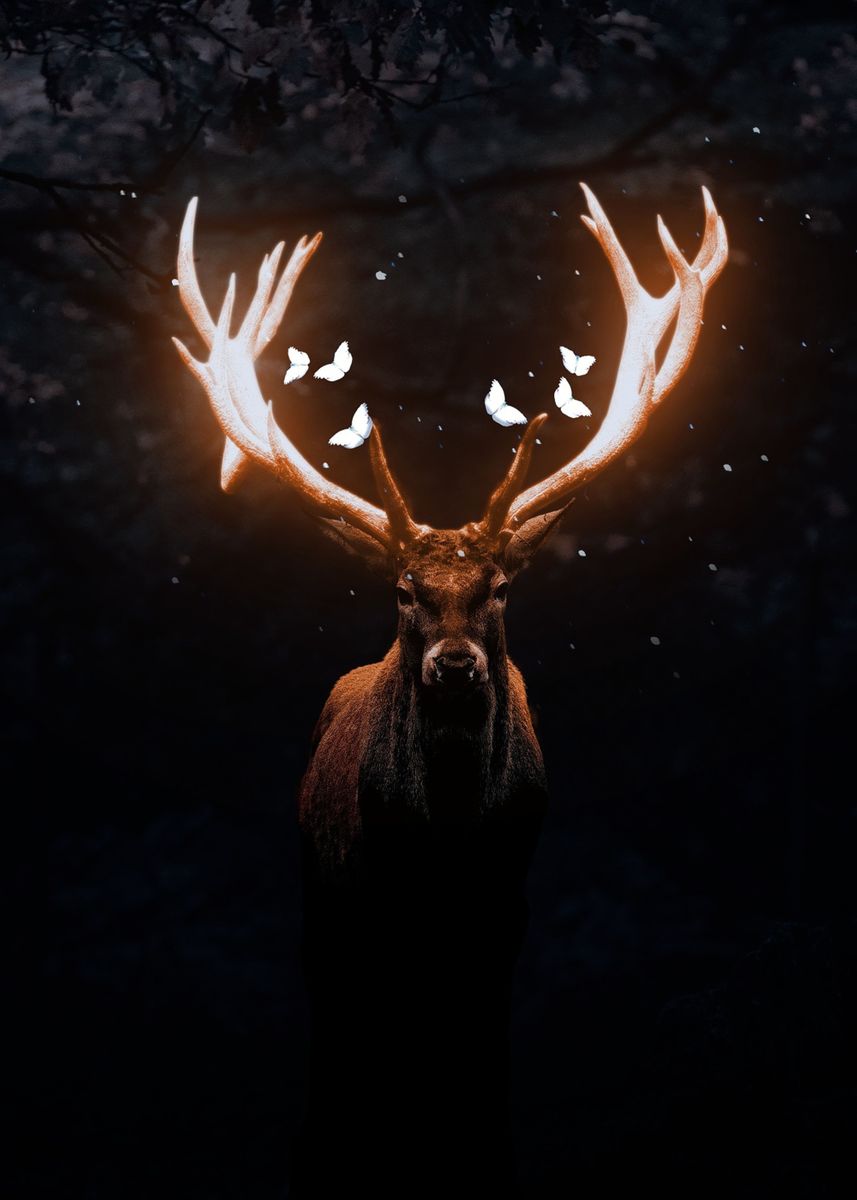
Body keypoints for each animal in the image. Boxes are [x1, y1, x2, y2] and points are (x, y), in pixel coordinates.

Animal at [172, 184, 727, 1198]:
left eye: (499, 586)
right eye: (403, 589)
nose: (456, 664)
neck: (448, 831)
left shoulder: (502, 901)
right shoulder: (361, 887)